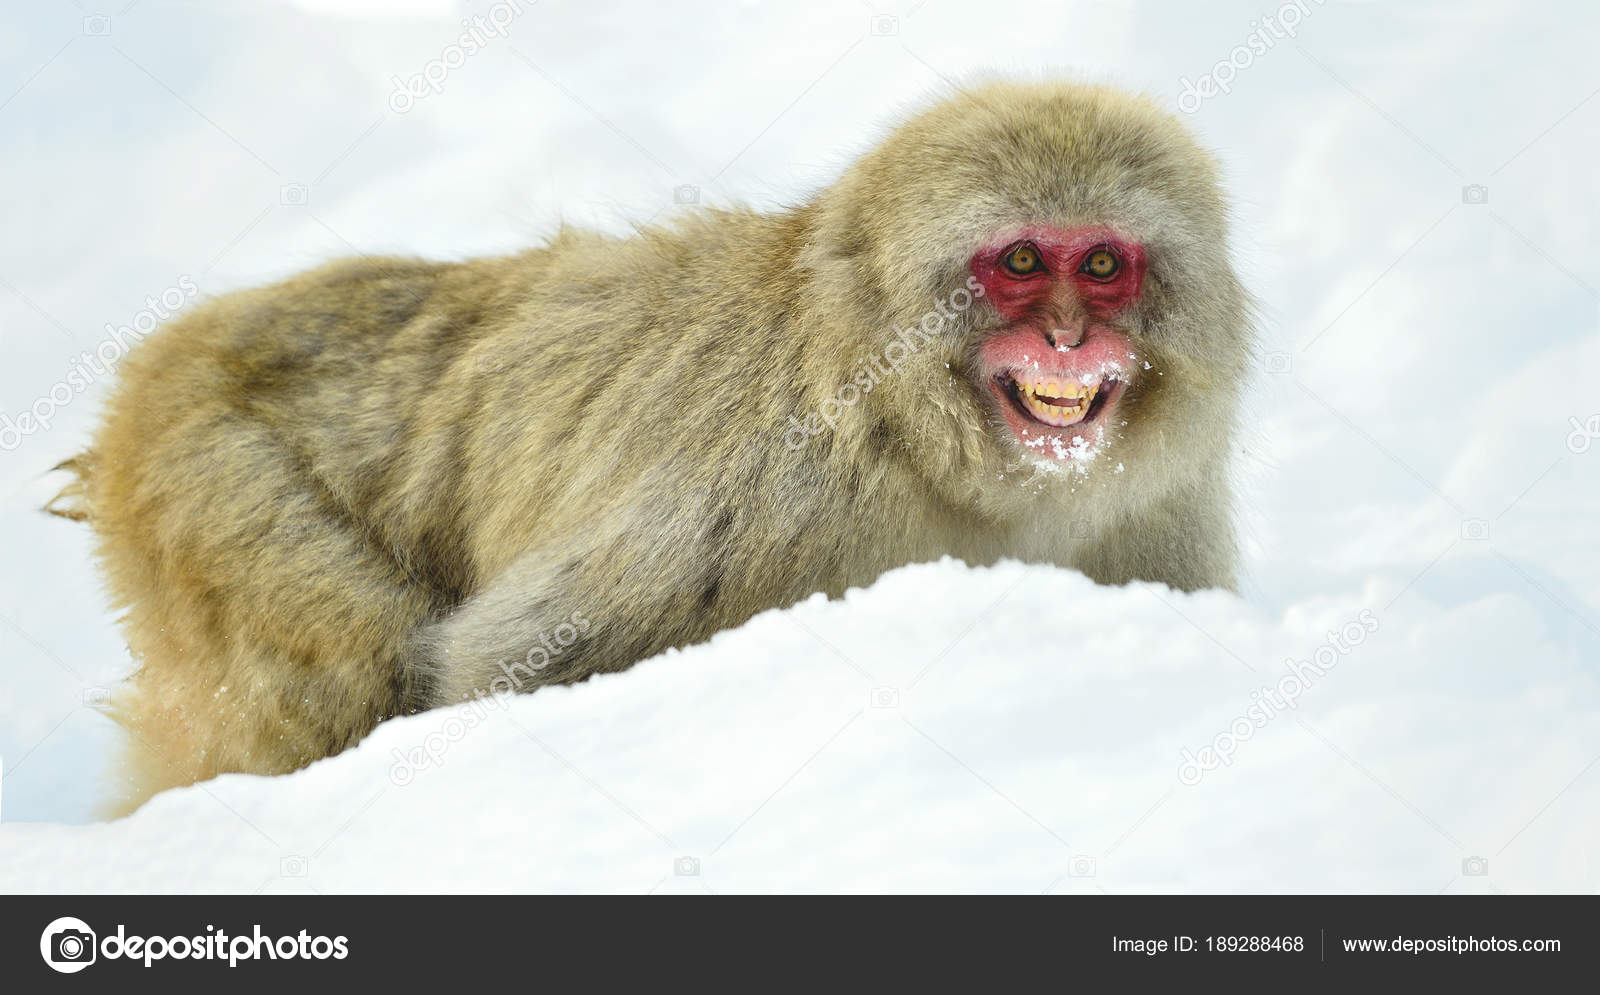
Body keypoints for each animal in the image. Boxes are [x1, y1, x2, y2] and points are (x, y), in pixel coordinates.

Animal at [49, 80, 1253, 813]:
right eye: (1021, 261)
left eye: (1103, 264)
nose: (1068, 336)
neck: (909, 430)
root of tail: (168, 355)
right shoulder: (774, 488)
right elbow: (513, 658)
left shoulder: (1156, 512)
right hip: (209, 479)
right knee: (347, 655)